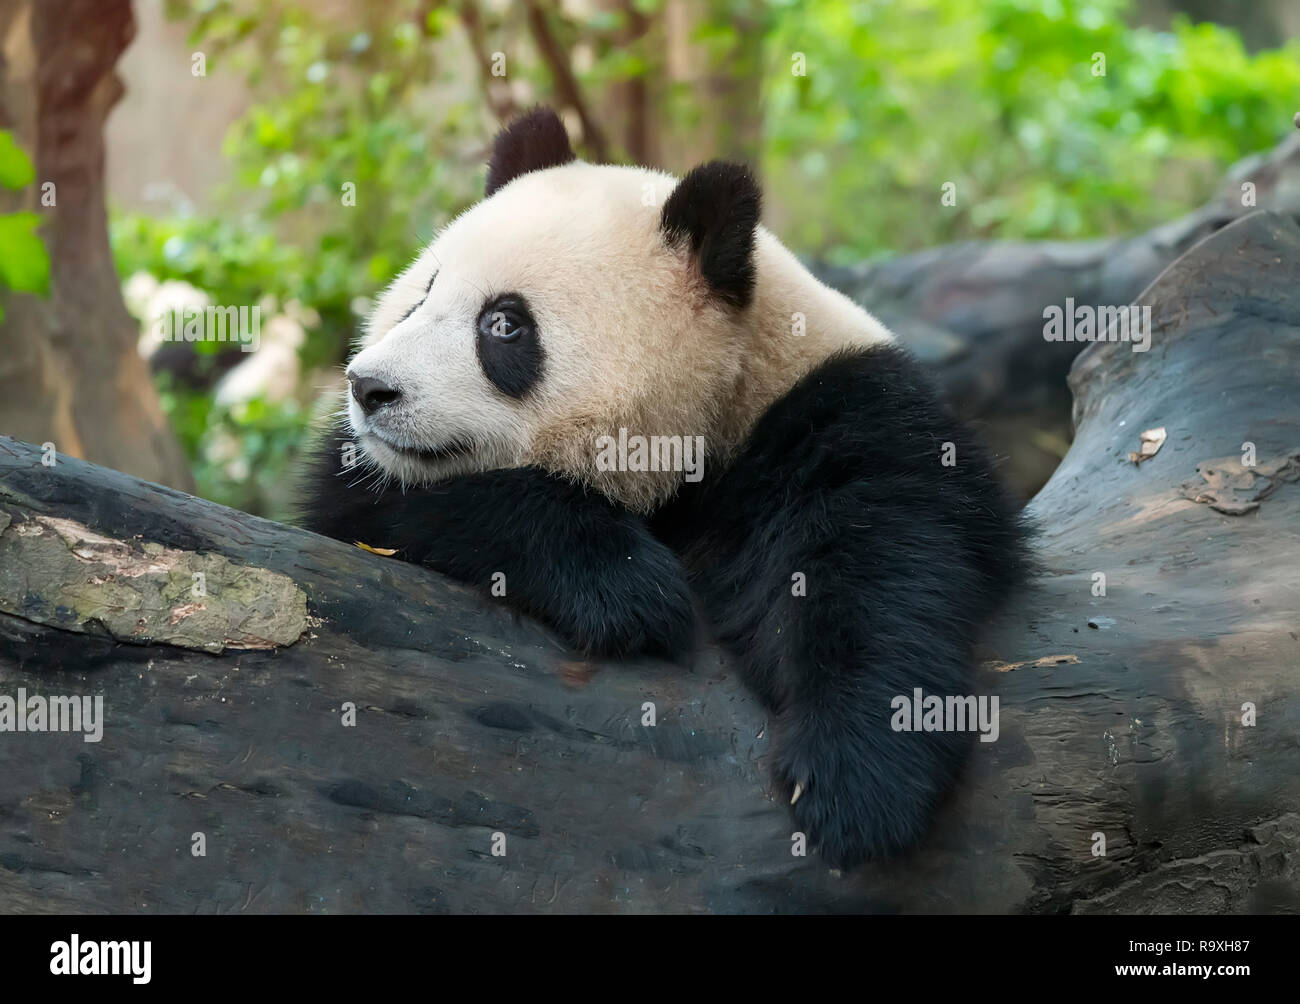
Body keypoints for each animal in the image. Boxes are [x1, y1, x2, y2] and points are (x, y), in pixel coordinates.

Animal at [300, 107, 1030, 869]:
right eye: (420, 296)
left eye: (504, 323)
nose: (370, 388)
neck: (704, 424)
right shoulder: (371, 478)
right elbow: (386, 509)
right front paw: (624, 588)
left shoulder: (841, 413)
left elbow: (888, 556)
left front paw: (858, 780)